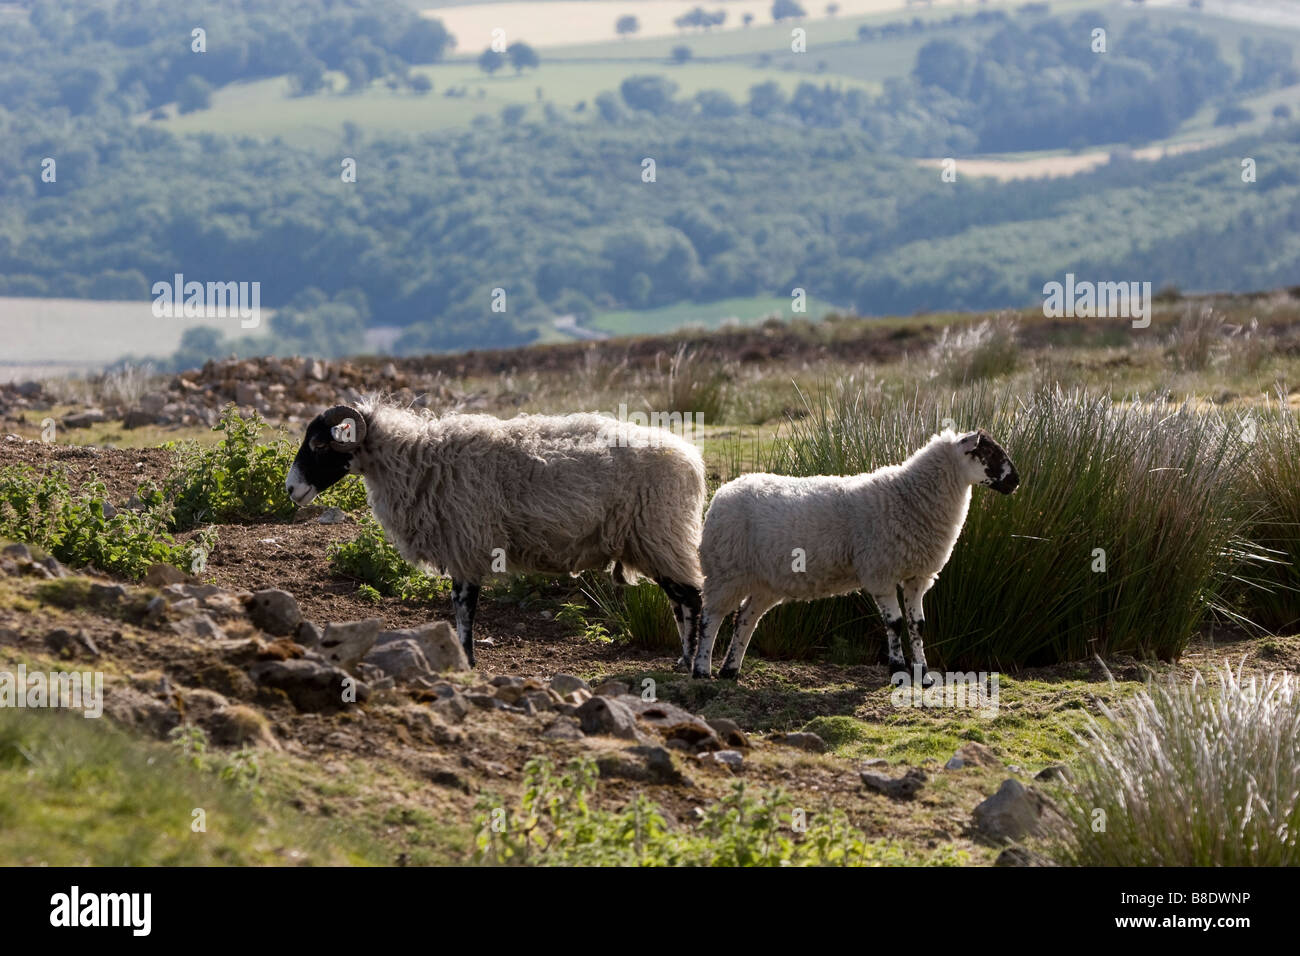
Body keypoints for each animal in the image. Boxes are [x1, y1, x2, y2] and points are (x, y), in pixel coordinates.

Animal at [285, 400, 706, 667]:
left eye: (320, 443)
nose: (291, 490)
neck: (413, 459)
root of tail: (691, 462)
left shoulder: (465, 543)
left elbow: (464, 606)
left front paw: (466, 659)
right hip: (654, 543)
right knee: (678, 601)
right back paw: (682, 659)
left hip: (661, 535)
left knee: (693, 598)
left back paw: (693, 664)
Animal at [691, 428, 1019, 682]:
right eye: (989, 453)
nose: (1015, 482)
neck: (910, 495)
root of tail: (725, 490)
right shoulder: (880, 572)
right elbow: (895, 623)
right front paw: (897, 671)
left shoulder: (917, 575)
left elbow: (917, 625)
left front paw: (923, 675)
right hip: (726, 570)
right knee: (711, 617)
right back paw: (701, 670)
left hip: (765, 582)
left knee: (746, 618)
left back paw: (730, 671)